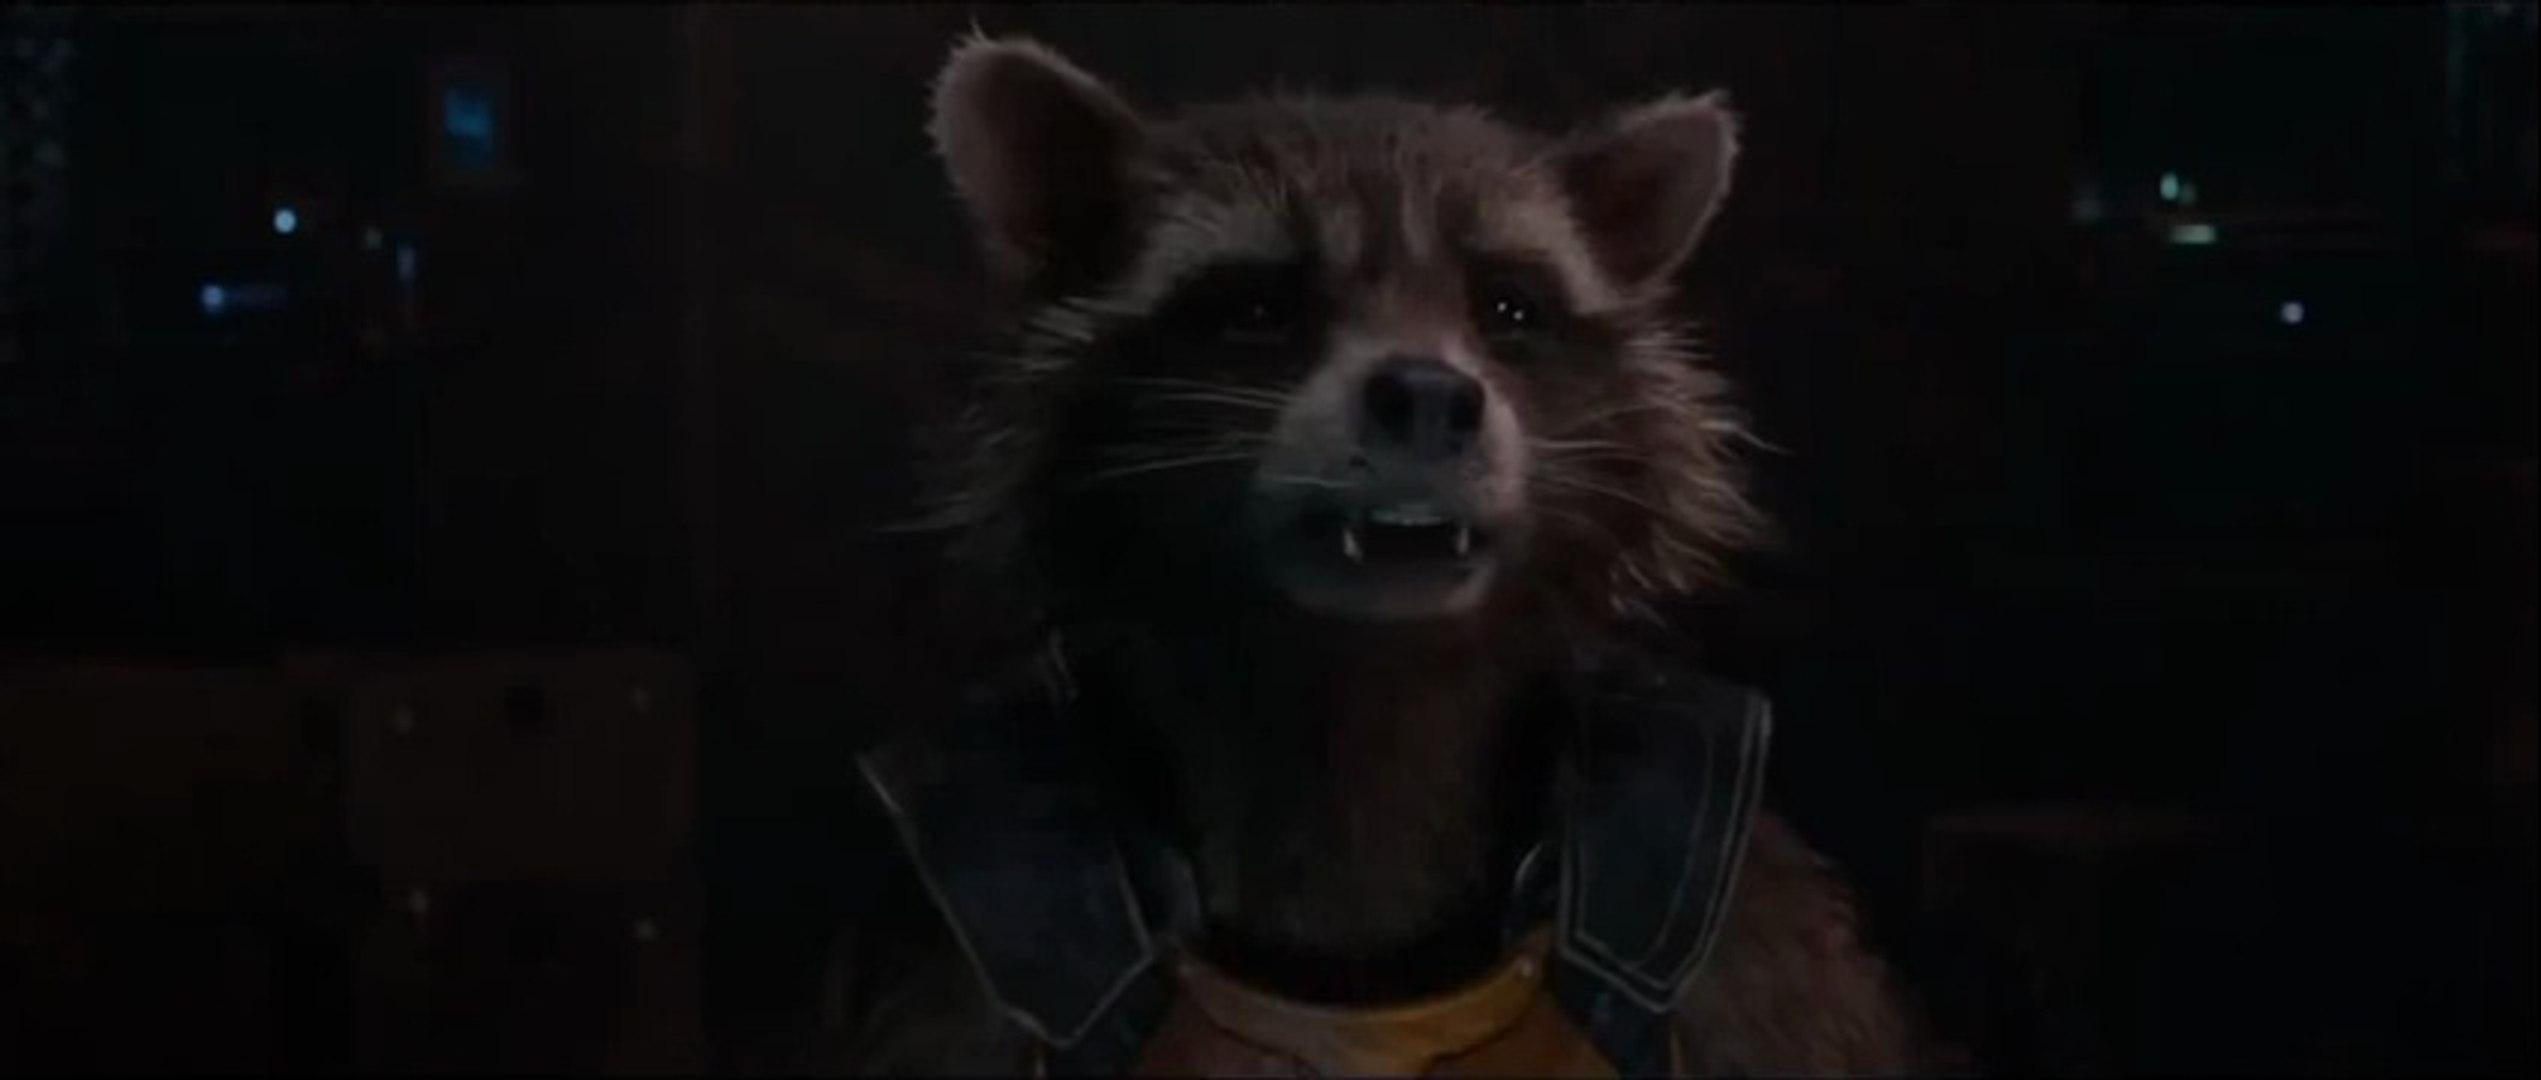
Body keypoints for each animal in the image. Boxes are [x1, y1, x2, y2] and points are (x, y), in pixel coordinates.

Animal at [820, 35, 1932, 1077]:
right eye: (1259, 307)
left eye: (1508, 306)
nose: (1430, 397)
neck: (1361, 690)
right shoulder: (943, 990)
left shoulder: (1767, 963)